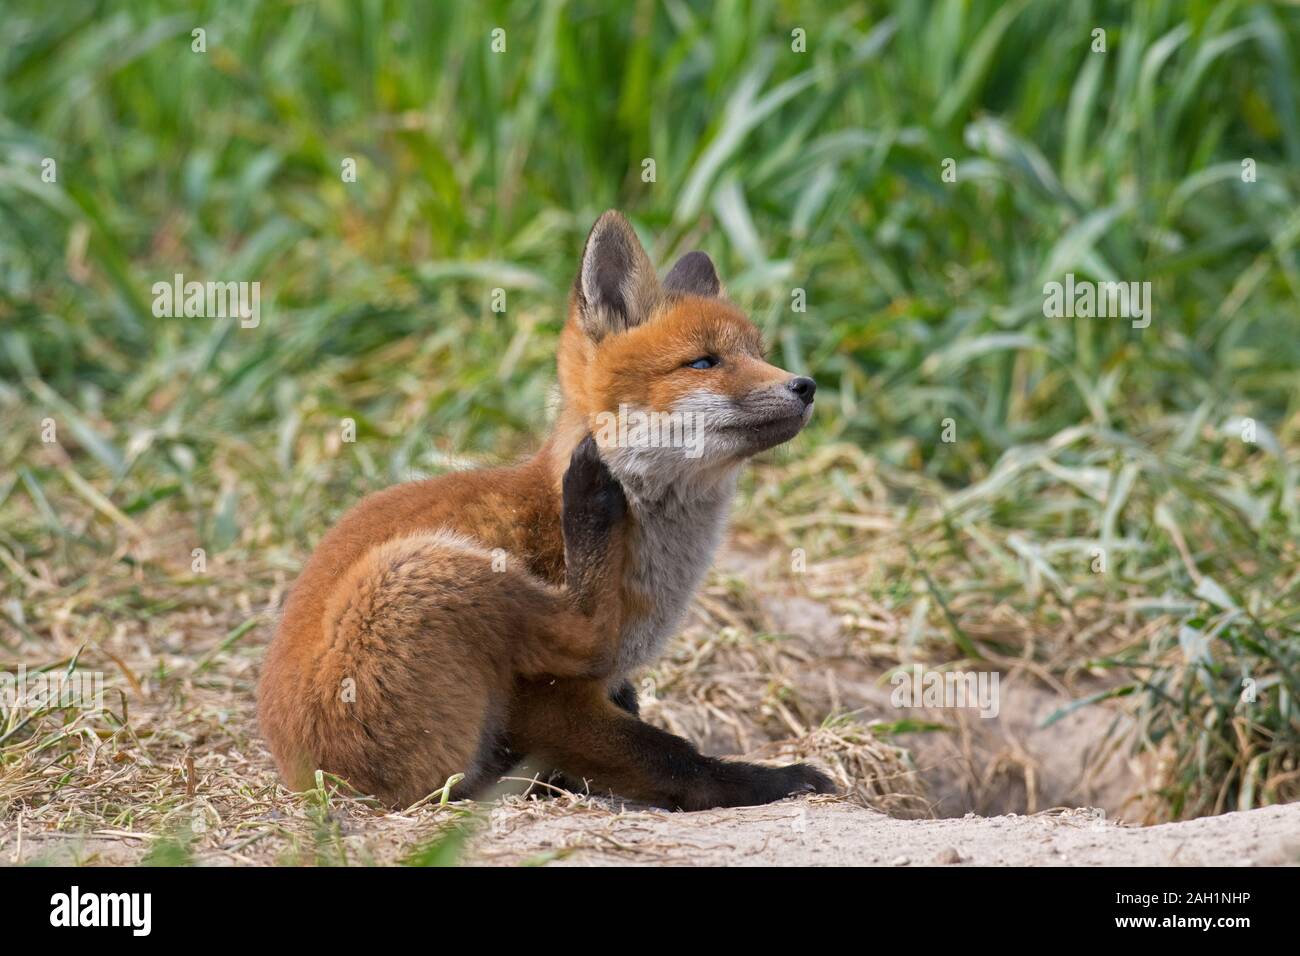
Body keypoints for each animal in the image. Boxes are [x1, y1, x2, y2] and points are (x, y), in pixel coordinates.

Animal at [257, 210, 834, 810]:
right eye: (704, 362)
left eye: (759, 353)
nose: (806, 386)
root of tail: (310, 785)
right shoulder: (550, 706)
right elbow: (673, 757)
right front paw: (771, 781)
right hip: (423, 571)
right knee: (587, 631)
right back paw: (588, 501)